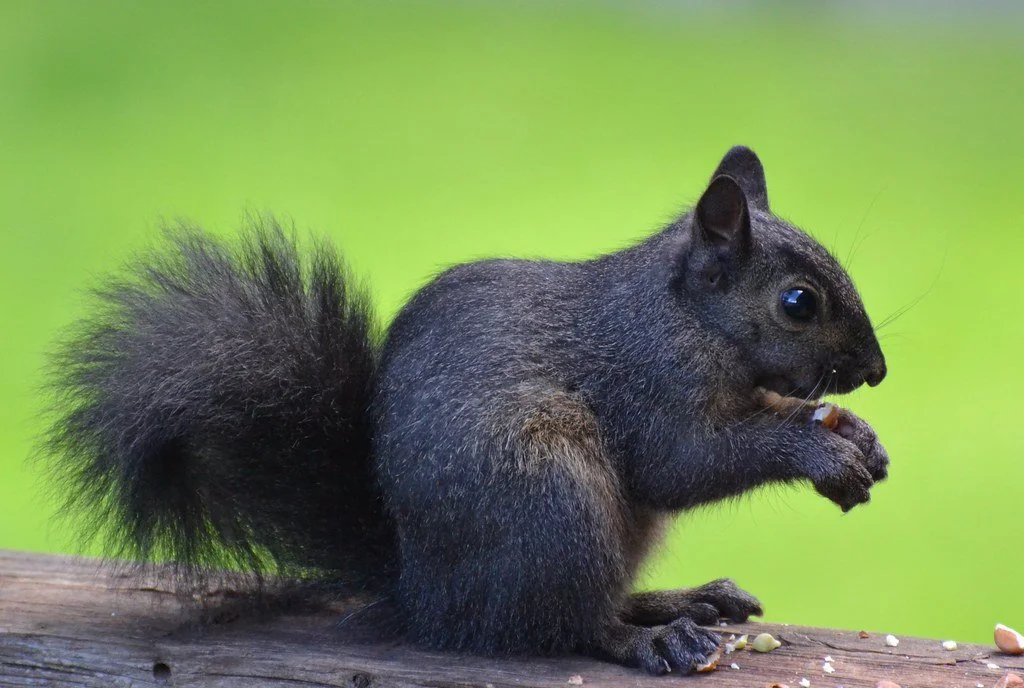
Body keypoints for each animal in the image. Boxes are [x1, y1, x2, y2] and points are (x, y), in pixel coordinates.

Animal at [43, 146, 888, 675]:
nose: (876, 373)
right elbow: (686, 462)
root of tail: (424, 592)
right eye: (798, 303)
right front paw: (819, 451)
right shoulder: (648, 384)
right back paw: (653, 641)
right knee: (562, 624)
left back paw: (679, 601)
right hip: (549, 501)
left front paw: (858, 438)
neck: (689, 319)